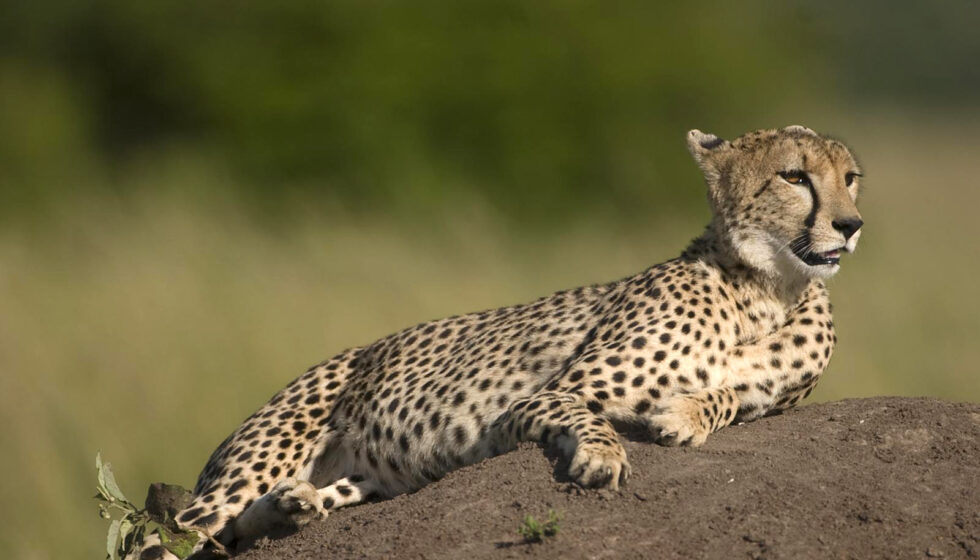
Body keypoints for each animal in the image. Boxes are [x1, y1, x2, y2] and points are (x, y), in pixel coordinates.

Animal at [139, 125, 863, 558]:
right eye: (795, 177)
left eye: (850, 177)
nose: (851, 225)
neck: (765, 290)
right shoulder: (545, 397)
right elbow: (590, 416)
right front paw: (604, 457)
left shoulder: (768, 394)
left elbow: (729, 396)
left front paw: (684, 412)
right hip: (248, 465)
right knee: (171, 533)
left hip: (368, 480)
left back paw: (295, 508)